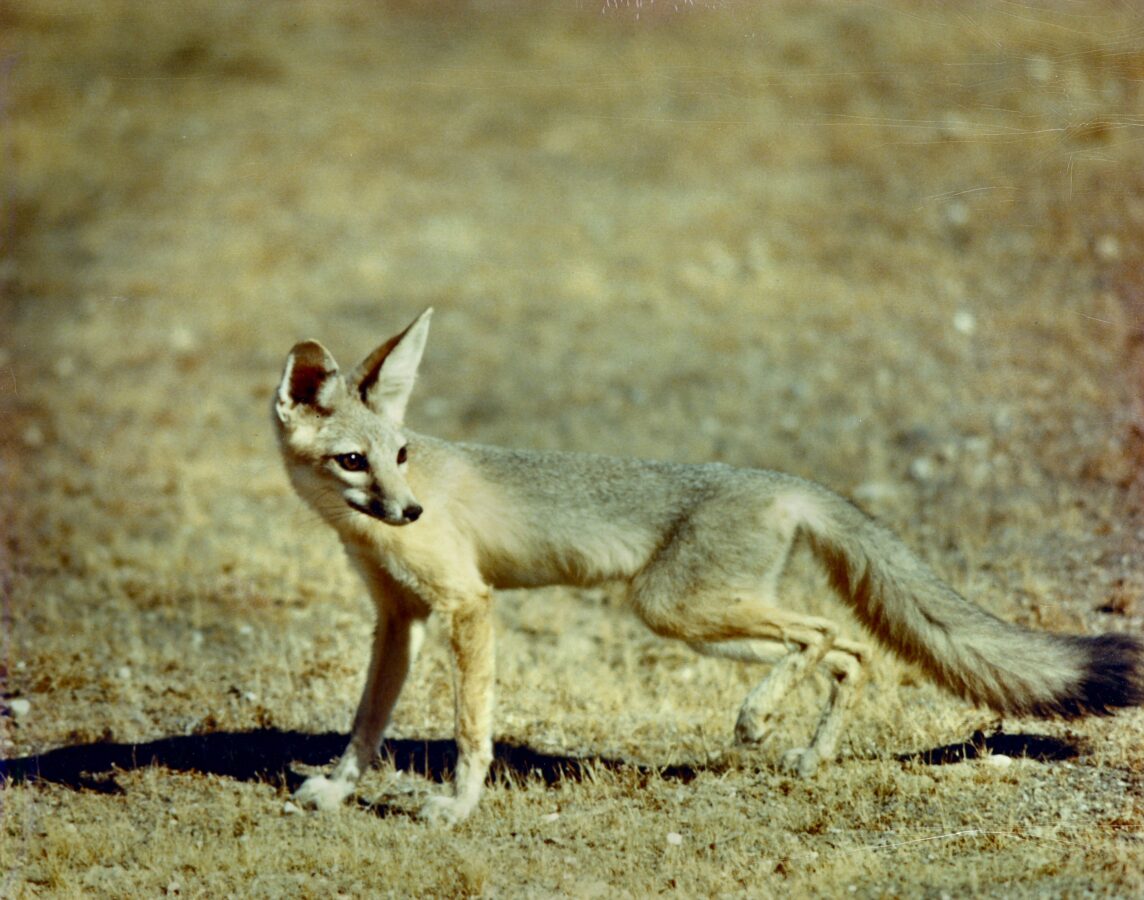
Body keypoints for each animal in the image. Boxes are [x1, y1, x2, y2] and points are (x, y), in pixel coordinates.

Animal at [273, 307, 1143, 825]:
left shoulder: (467, 605)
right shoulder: (400, 620)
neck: (368, 533)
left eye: (400, 455)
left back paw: (759, 720)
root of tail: (782, 480)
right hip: (699, 618)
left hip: (675, 608)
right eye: (354, 460)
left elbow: (469, 728)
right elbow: (366, 724)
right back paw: (805, 754)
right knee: (850, 652)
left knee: (821, 632)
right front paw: (336, 789)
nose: (410, 511)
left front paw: (455, 808)